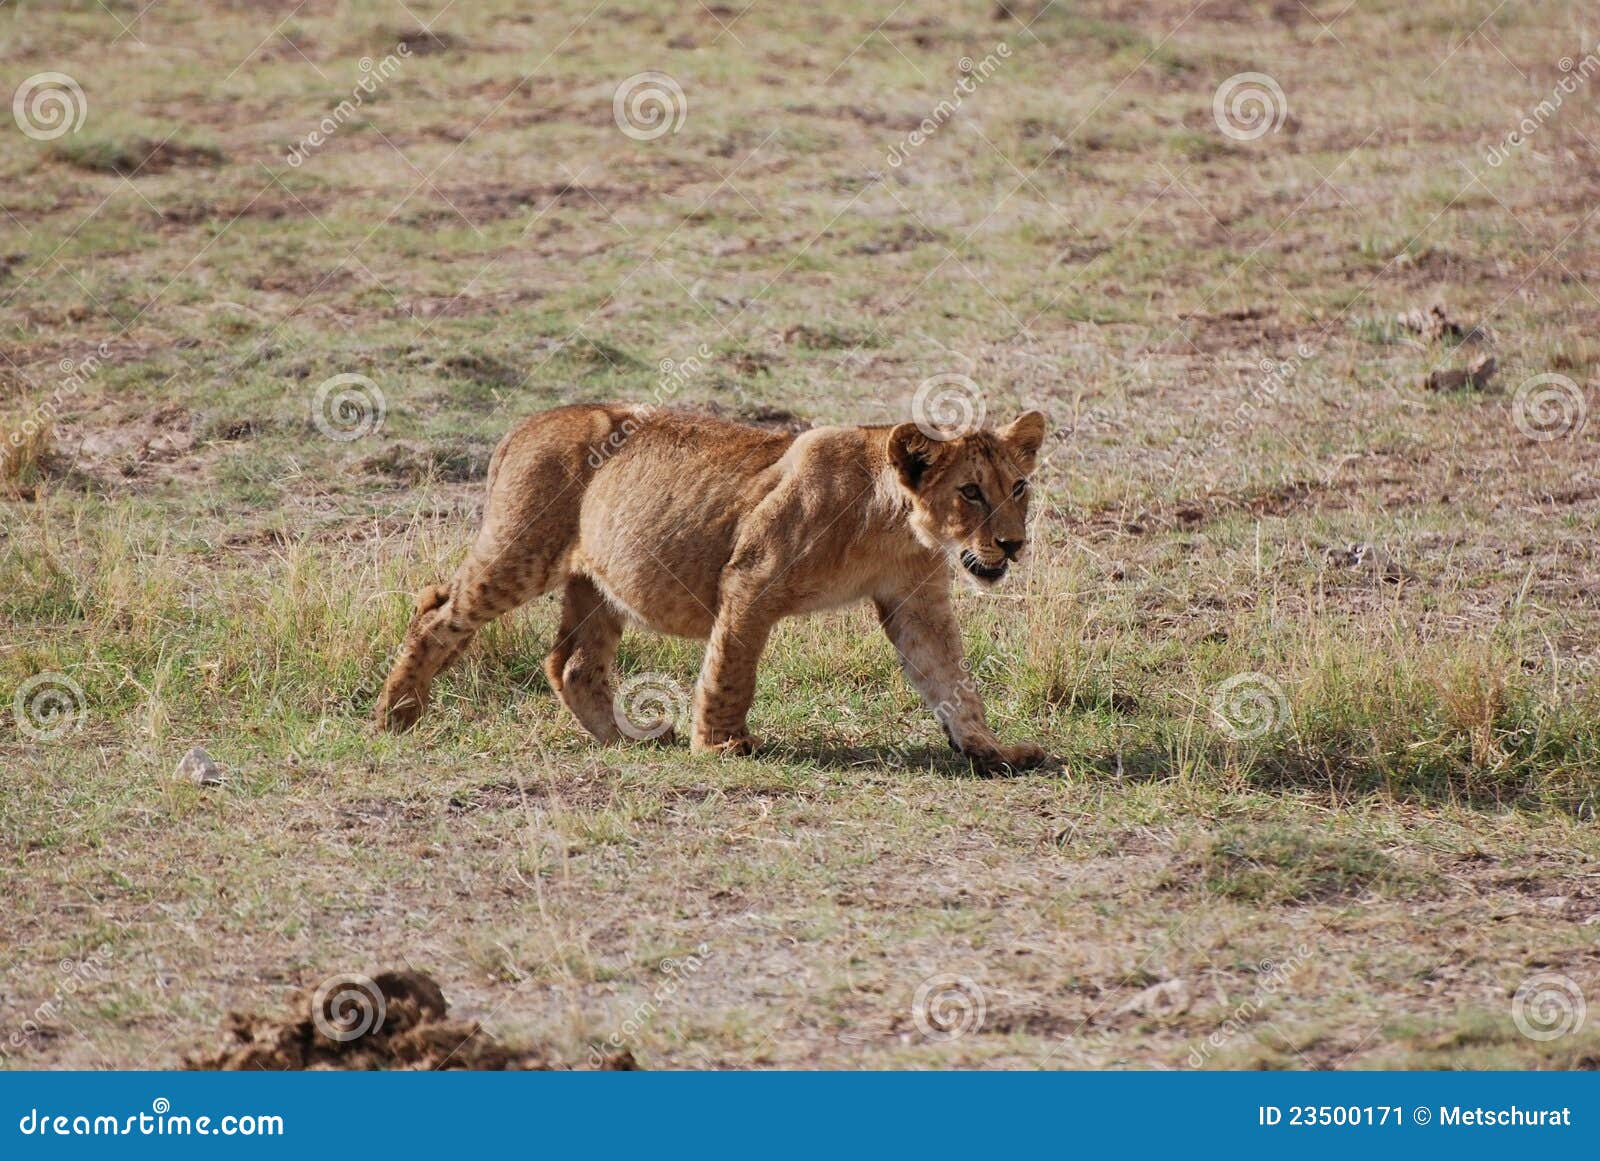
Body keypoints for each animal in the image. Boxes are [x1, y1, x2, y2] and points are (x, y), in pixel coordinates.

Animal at [375, 404, 1050, 772]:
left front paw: (990, 750)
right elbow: (732, 668)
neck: (894, 526)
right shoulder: (750, 579)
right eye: (970, 492)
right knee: (436, 610)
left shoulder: (917, 602)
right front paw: (720, 746)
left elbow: (951, 679)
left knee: (572, 663)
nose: (1013, 543)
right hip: (520, 554)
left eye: (1017, 487)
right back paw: (395, 715)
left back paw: (632, 742)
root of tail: (527, 424)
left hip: (596, 580)